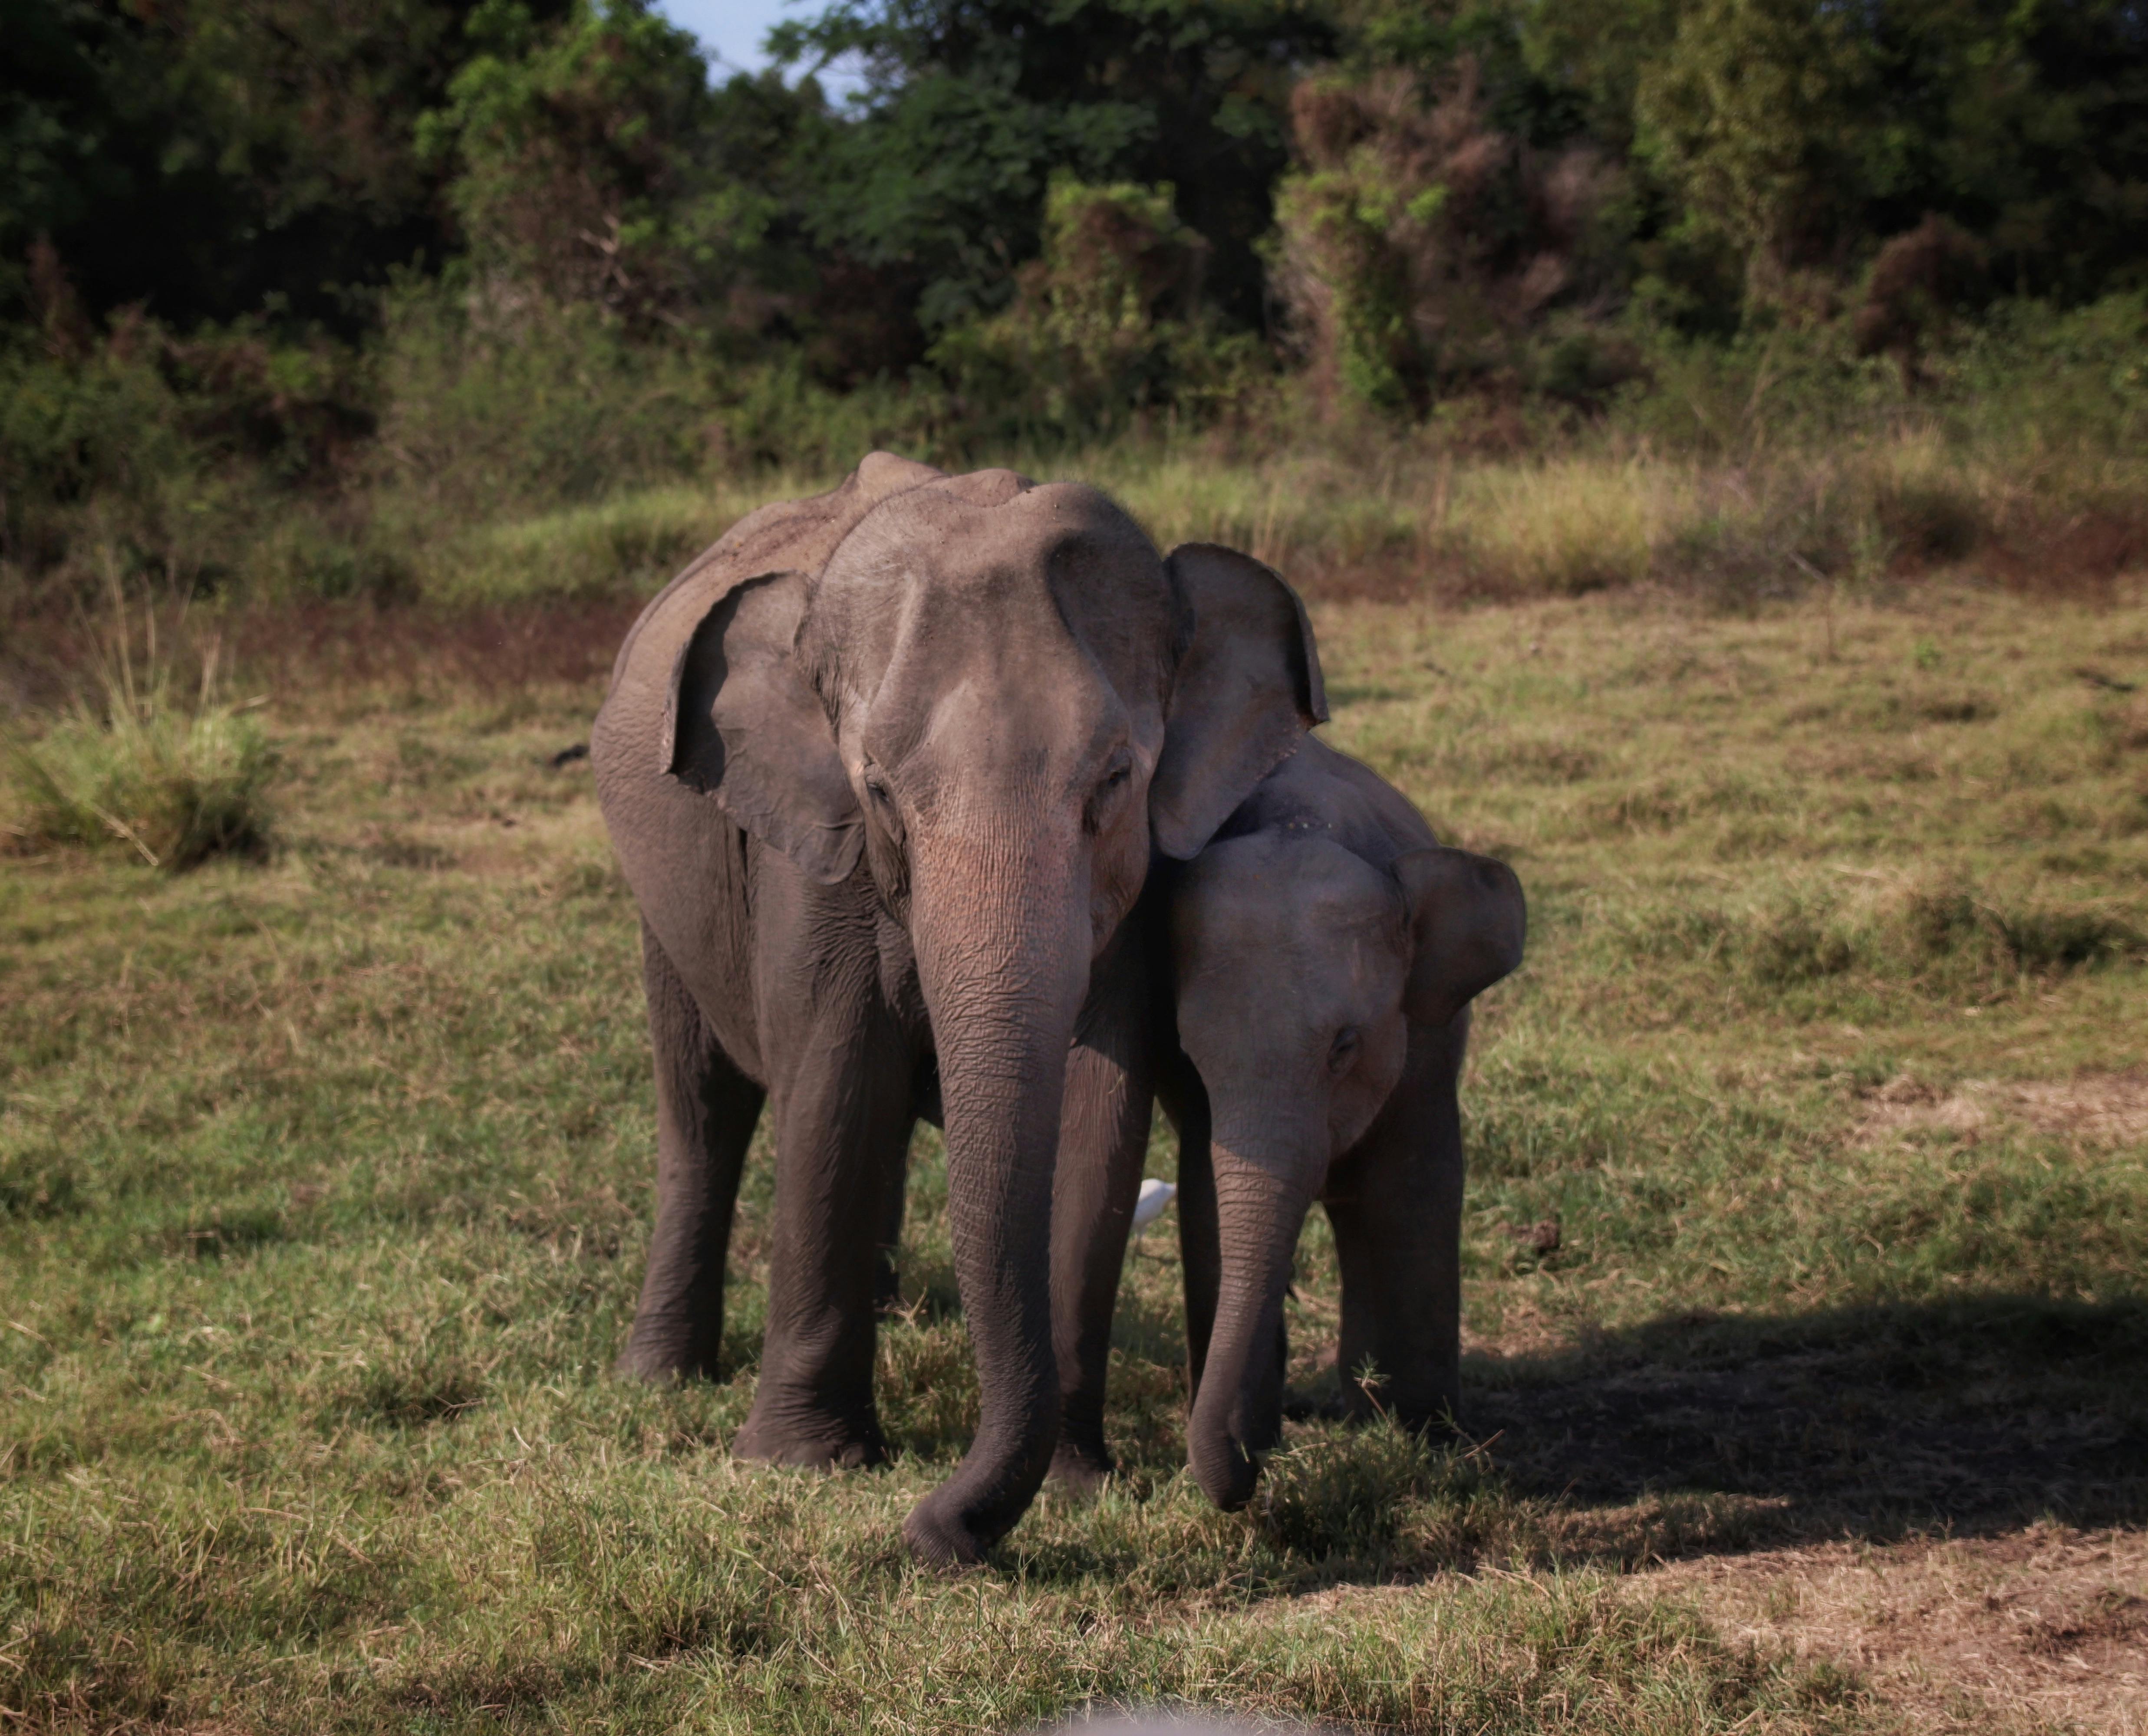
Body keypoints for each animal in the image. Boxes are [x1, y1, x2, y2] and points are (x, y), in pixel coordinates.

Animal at [590, 452, 1323, 1566]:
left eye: (1115, 778)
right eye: (881, 788)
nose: (931, 1531)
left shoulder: (1137, 892)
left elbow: (1089, 1117)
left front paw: (1073, 1484)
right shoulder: (816, 863)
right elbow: (834, 1086)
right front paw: (801, 1464)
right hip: (667, 894)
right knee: (704, 1103)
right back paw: (660, 1376)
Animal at [1049, 731, 1526, 1510]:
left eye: (1344, 1047)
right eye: (1189, 1051)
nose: (1251, 1474)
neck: (1304, 824)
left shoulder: (1426, 1047)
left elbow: (1412, 1190)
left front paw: (1433, 1452)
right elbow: (1212, 1204)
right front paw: (1255, 1443)